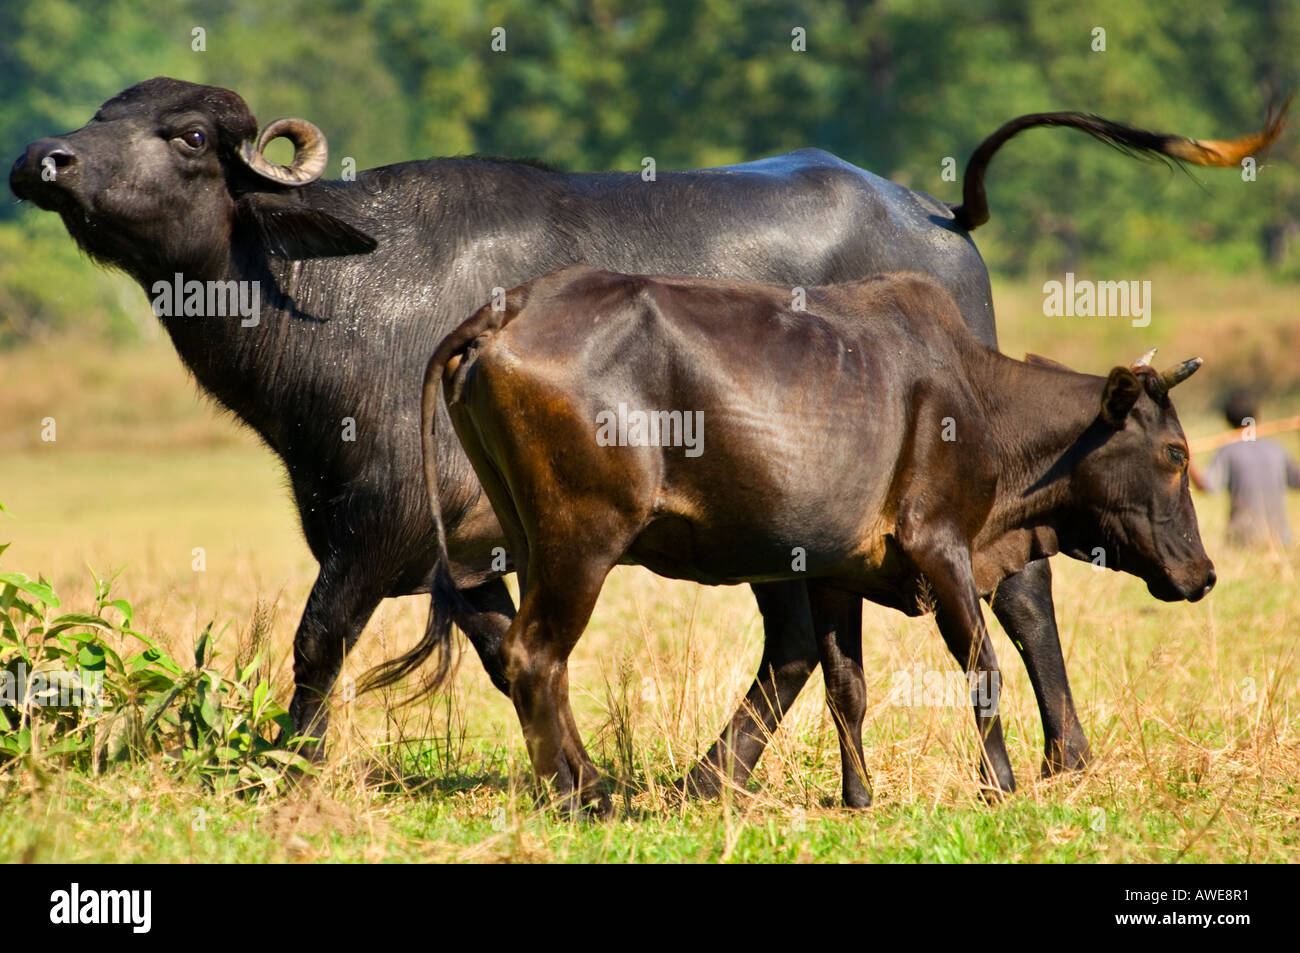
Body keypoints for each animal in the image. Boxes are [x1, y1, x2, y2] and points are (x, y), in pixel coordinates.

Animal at [418, 266, 1215, 815]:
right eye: (1175, 453)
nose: (1204, 574)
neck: (982, 403)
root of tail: (511, 307)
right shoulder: (941, 546)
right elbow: (983, 667)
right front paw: (1001, 786)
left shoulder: (838, 571)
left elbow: (846, 687)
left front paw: (859, 796)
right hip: (582, 538)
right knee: (534, 654)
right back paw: (582, 800)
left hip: (534, 538)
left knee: (539, 661)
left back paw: (592, 788)